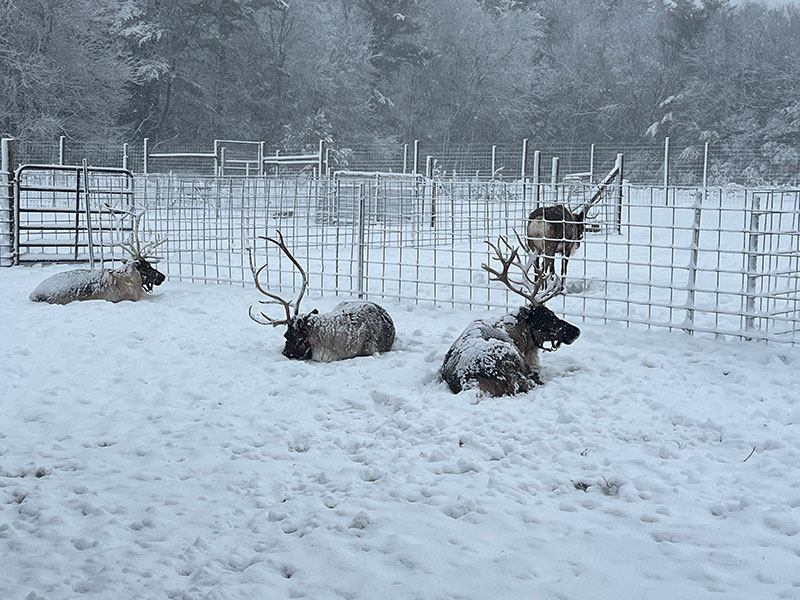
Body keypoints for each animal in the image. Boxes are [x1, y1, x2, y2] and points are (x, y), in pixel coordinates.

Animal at [441, 233, 580, 397]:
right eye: (545, 319)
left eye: (552, 313)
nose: (576, 331)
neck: (520, 338)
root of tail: (469, 382)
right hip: (515, 371)